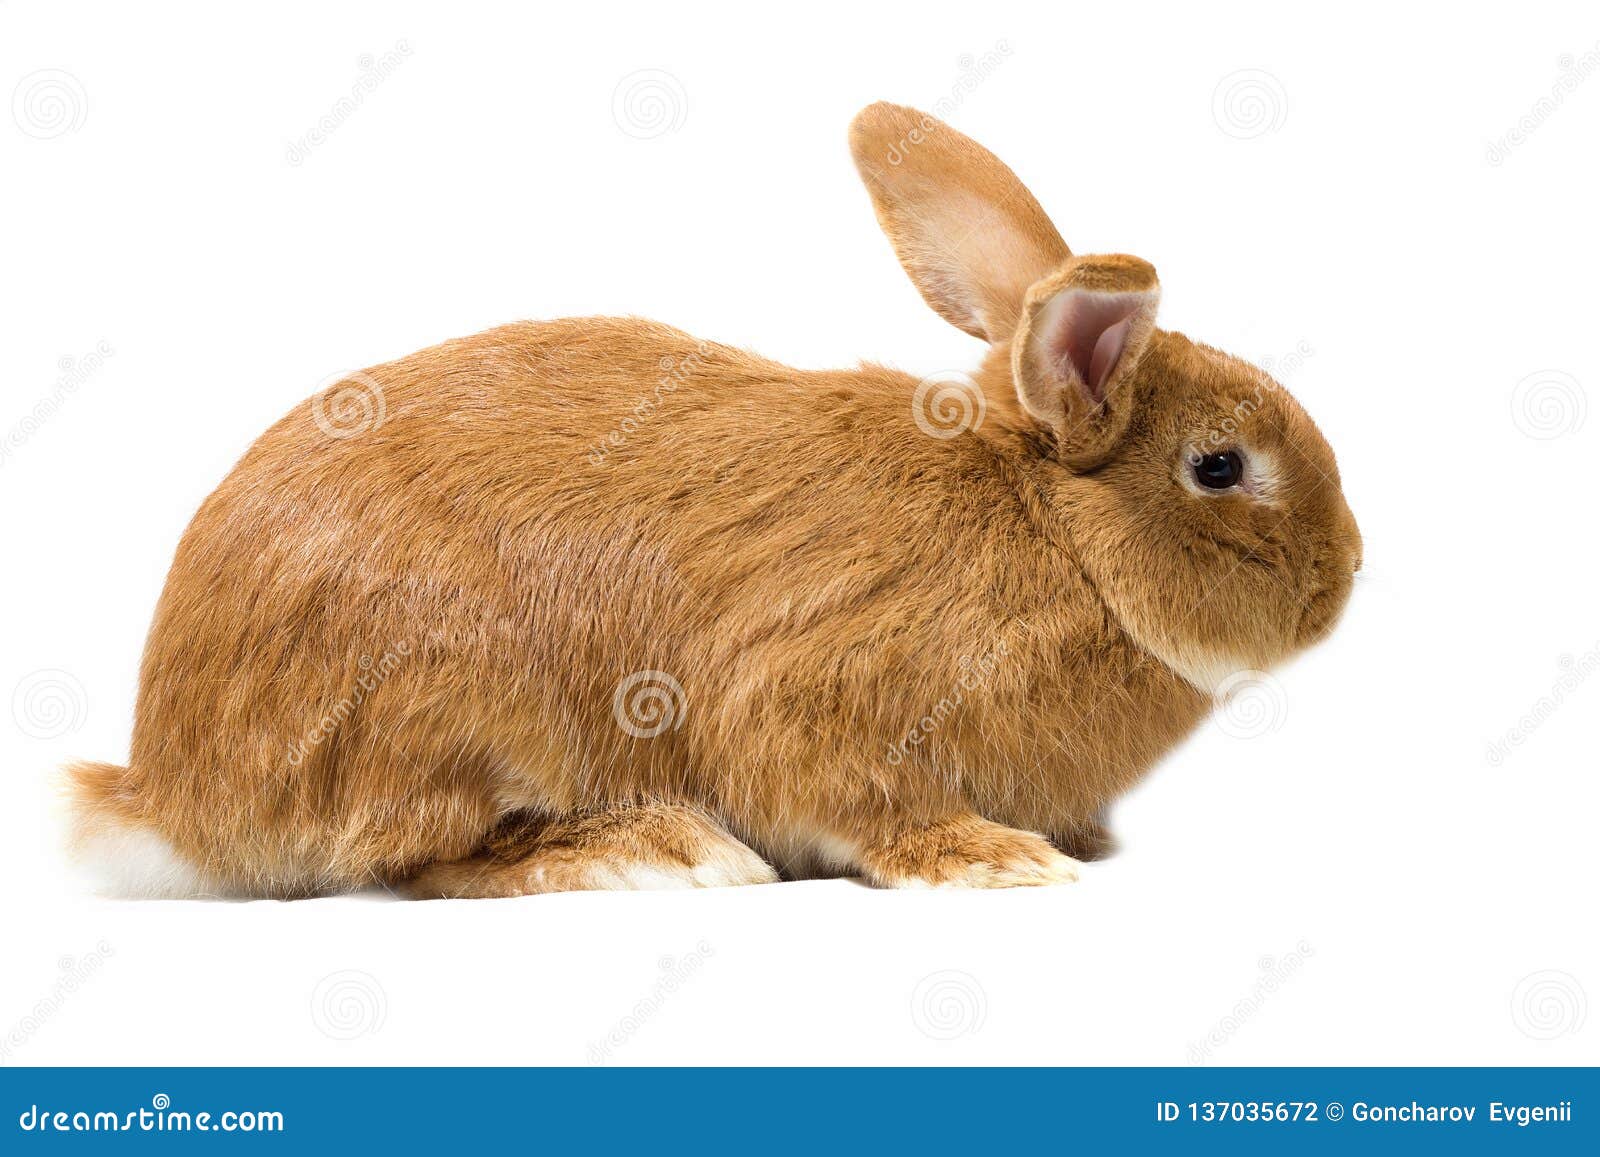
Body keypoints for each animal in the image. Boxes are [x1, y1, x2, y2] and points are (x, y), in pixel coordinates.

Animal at [66, 101, 1360, 899]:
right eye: (1219, 467)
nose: (1340, 583)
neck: (1059, 537)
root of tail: (170, 787)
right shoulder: (817, 693)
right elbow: (862, 794)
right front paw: (996, 857)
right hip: (453, 698)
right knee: (423, 857)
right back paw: (658, 851)